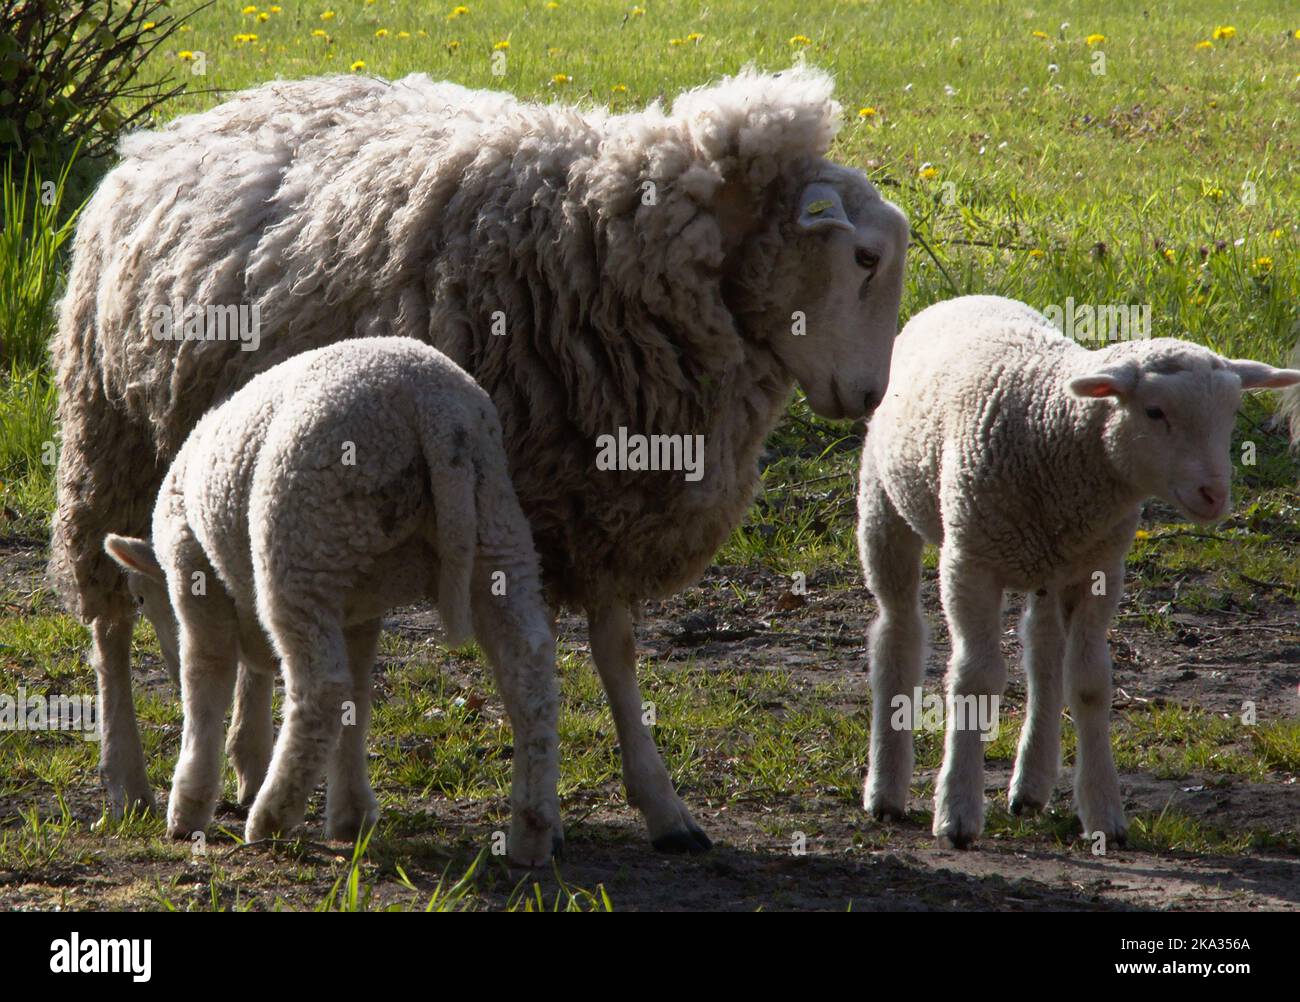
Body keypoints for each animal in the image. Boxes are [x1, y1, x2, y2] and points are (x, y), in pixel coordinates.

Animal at [102, 337, 561, 866]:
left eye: (141, 598)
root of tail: (435, 408)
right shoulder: (359, 611)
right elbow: (357, 702)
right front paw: (351, 815)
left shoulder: (192, 571)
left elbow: (206, 681)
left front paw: (188, 809)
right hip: (491, 527)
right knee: (527, 668)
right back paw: (532, 829)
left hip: (299, 542)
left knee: (320, 688)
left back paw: (271, 817)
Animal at [856, 295, 1300, 848]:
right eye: (1154, 411)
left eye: (1232, 413)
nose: (1214, 496)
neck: (1053, 427)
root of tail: (967, 298)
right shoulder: (968, 562)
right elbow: (975, 679)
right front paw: (956, 812)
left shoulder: (1099, 570)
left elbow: (1089, 683)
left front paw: (1104, 813)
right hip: (884, 502)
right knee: (897, 630)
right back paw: (886, 789)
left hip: (1050, 564)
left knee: (1043, 653)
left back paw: (1030, 786)